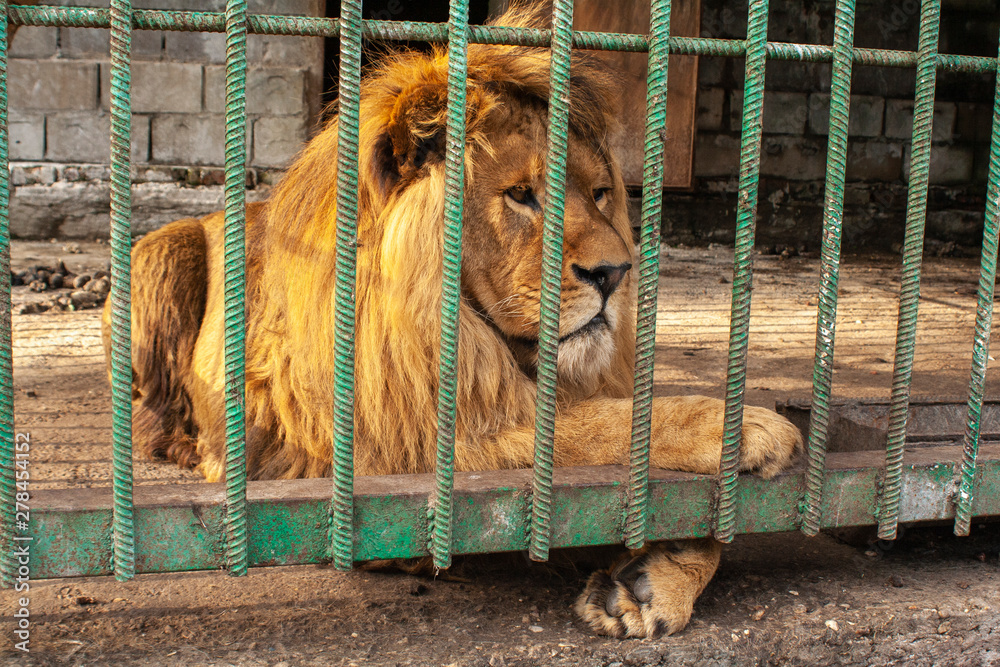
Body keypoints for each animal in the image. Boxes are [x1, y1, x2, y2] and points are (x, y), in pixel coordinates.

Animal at [102, 5, 802, 639]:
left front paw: (651, 578)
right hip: (161, 253)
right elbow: (590, 428)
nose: (615, 273)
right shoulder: (394, 456)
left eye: (601, 194)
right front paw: (744, 425)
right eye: (520, 195)